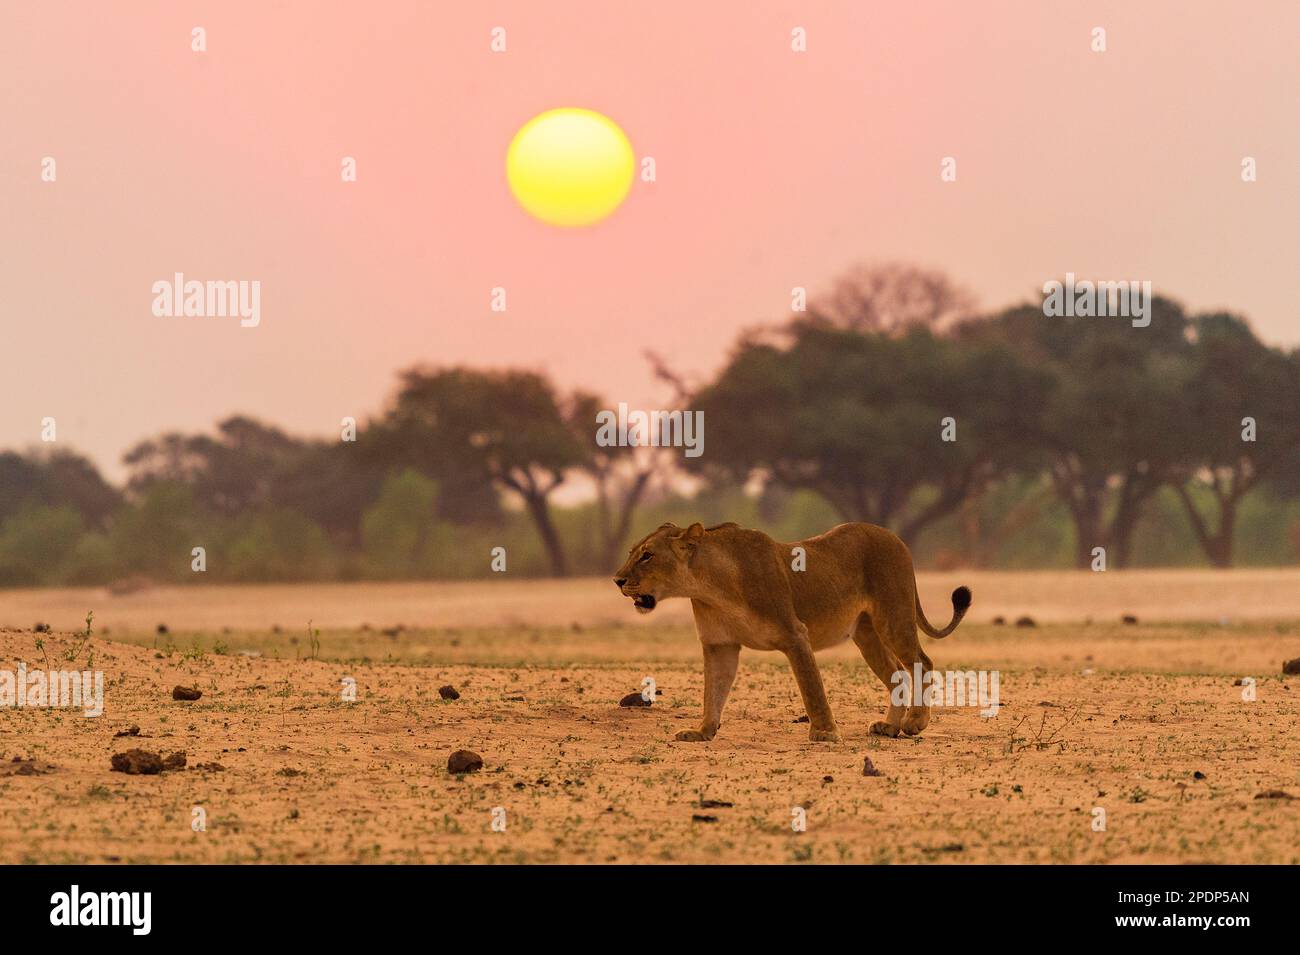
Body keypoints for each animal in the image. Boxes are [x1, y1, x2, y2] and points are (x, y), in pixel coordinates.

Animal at [613, 521, 970, 743]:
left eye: (647, 555)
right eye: (632, 552)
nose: (617, 580)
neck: (709, 588)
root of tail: (896, 538)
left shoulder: (795, 634)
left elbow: (812, 688)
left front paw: (825, 733)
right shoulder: (720, 644)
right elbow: (713, 692)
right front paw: (702, 732)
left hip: (893, 618)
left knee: (921, 661)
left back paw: (914, 723)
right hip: (866, 634)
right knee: (897, 672)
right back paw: (889, 727)